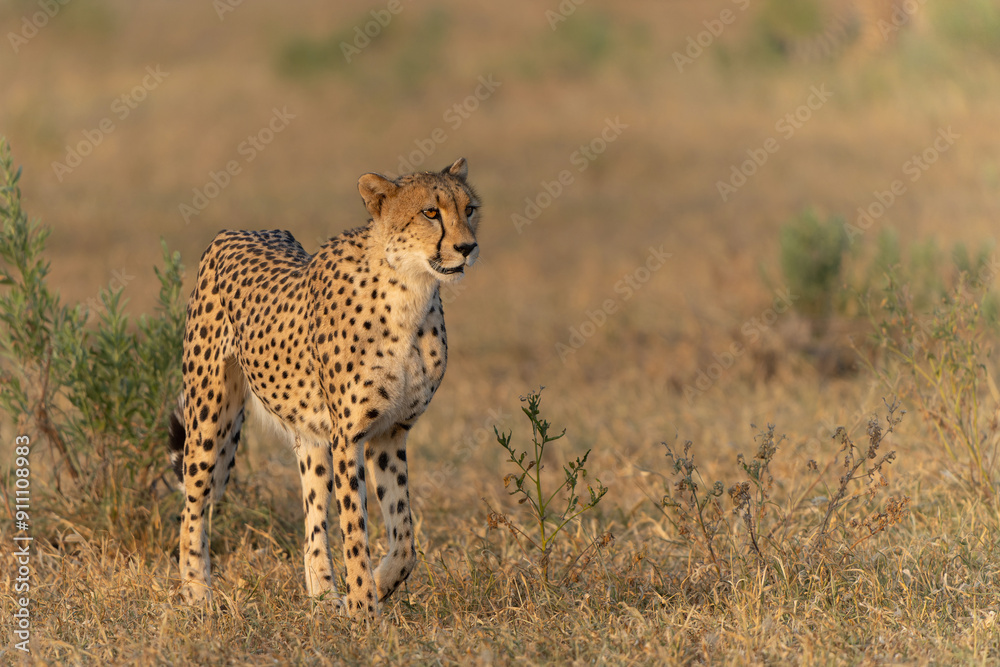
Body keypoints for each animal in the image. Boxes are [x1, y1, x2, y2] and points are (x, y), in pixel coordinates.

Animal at [166, 157, 480, 616]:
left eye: (469, 209)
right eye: (430, 212)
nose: (467, 247)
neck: (409, 290)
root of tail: (235, 231)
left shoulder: (389, 433)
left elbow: (404, 539)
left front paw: (370, 592)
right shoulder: (350, 436)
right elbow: (355, 530)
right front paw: (365, 609)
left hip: (311, 439)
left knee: (313, 523)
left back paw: (322, 596)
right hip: (209, 415)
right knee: (193, 504)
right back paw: (196, 592)